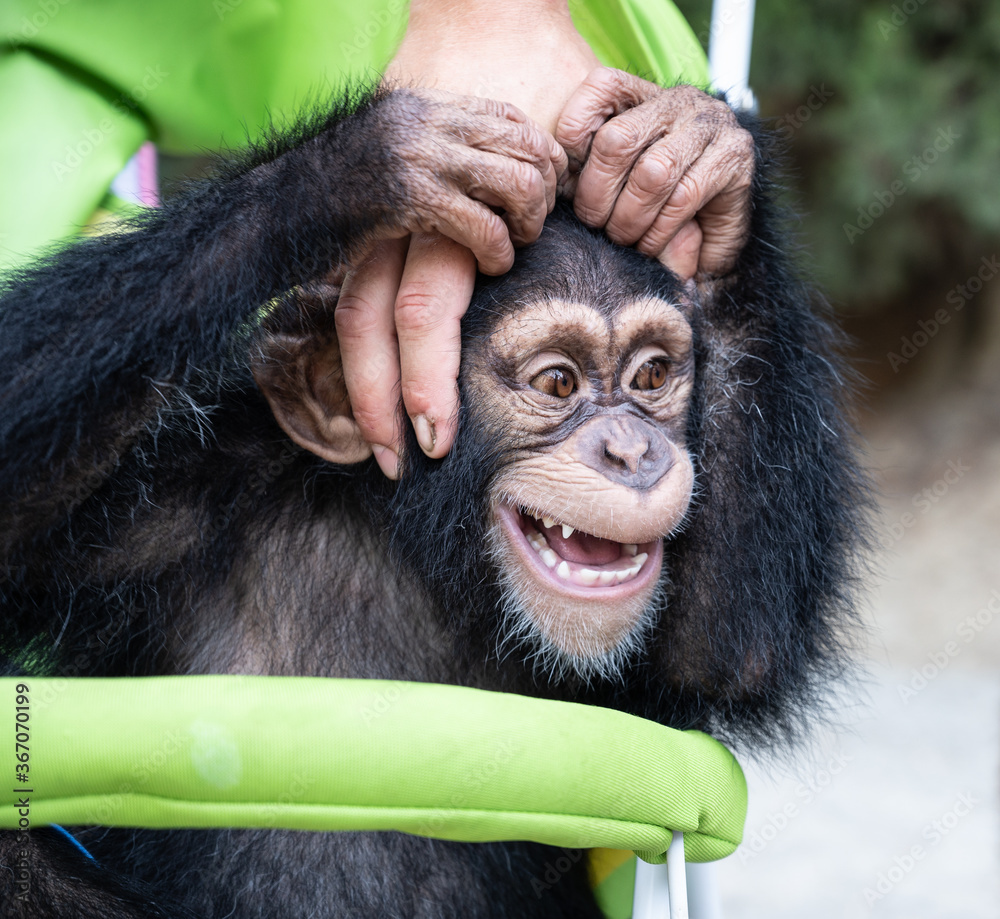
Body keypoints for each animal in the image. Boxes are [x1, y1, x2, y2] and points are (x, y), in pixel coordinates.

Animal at [0, 85, 867, 918]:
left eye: (652, 375)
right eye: (558, 381)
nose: (633, 450)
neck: (418, 554)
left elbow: (722, 654)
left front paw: (698, 158)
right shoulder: (170, 505)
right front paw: (375, 165)